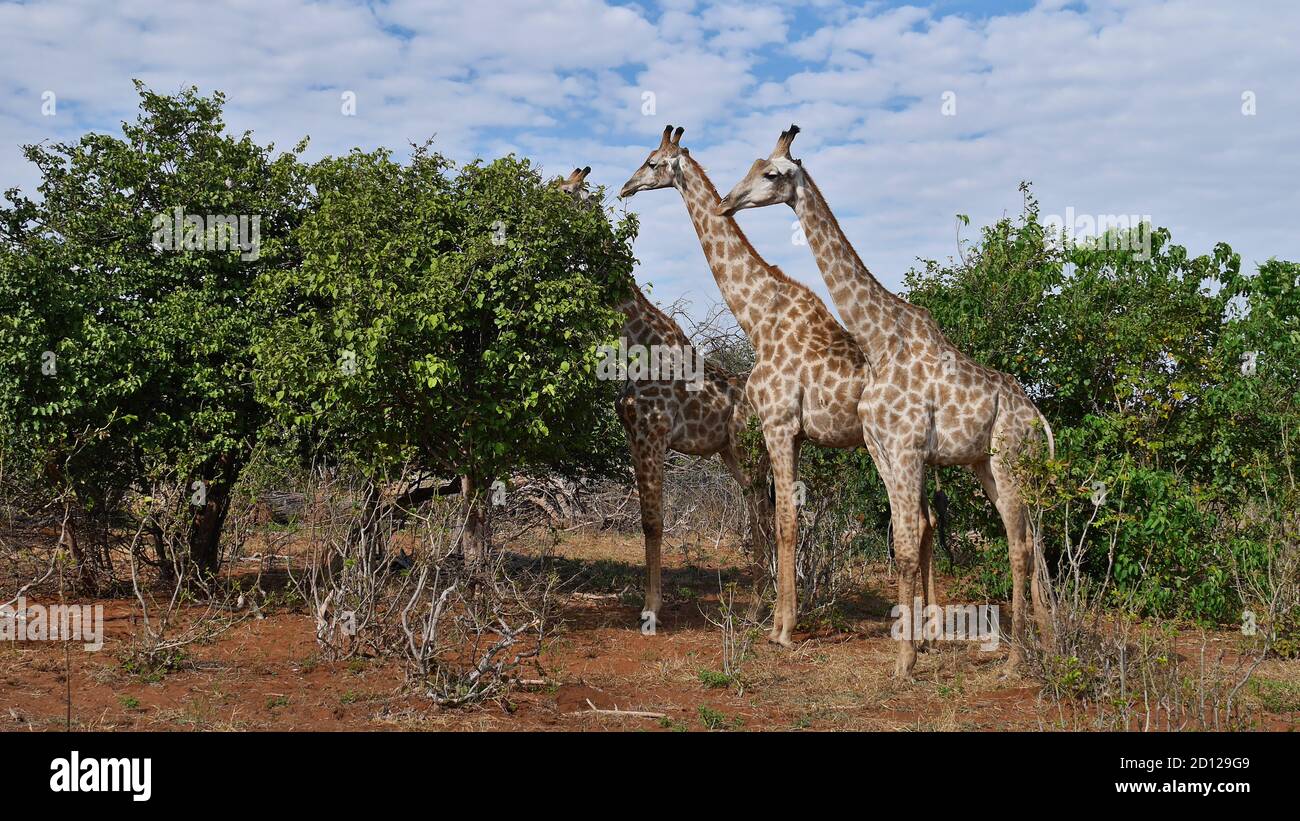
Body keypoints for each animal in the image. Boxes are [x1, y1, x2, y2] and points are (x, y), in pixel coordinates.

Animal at [551, 168, 769, 628]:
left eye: (563, 192)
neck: (635, 340)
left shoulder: (654, 434)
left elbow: (655, 521)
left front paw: (651, 610)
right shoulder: (634, 434)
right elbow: (645, 519)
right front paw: (649, 603)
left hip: (749, 450)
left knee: (764, 511)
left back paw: (763, 604)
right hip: (731, 453)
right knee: (756, 507)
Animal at [616, 125, 873, 646]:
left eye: (652, 162)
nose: (624, 188)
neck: (763, 315)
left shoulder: (764, 428)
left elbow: (660, 520)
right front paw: (775, 617)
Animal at [722, 123, 1055, 675]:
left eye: (771, 174)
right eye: (750, 166)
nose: (728, 201)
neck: (879, 340)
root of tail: (1040, 422)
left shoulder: (905, 449)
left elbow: (905, 545)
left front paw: (905, 660)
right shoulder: (882, 449)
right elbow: (906, 539)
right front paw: (912, 646)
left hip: (1008, 462)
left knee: (1019, 545)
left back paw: (1015, 659)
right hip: (989, 466)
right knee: (1030, 538)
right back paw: (1044, 642)